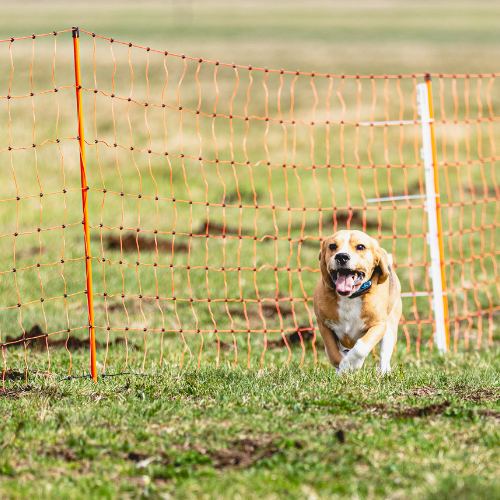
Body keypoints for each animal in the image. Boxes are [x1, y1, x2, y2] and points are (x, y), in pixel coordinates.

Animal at [312, 231, 402, 376]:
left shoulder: (378, 325)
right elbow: (332, 352)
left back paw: (383, 372)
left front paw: (351, 365)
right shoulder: (324, 325)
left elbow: (361, 347)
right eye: (332, 246)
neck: (350, 298)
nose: (342, 256)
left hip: (389, 329)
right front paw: (343, 369)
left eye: (360, 247)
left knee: (384, 354)